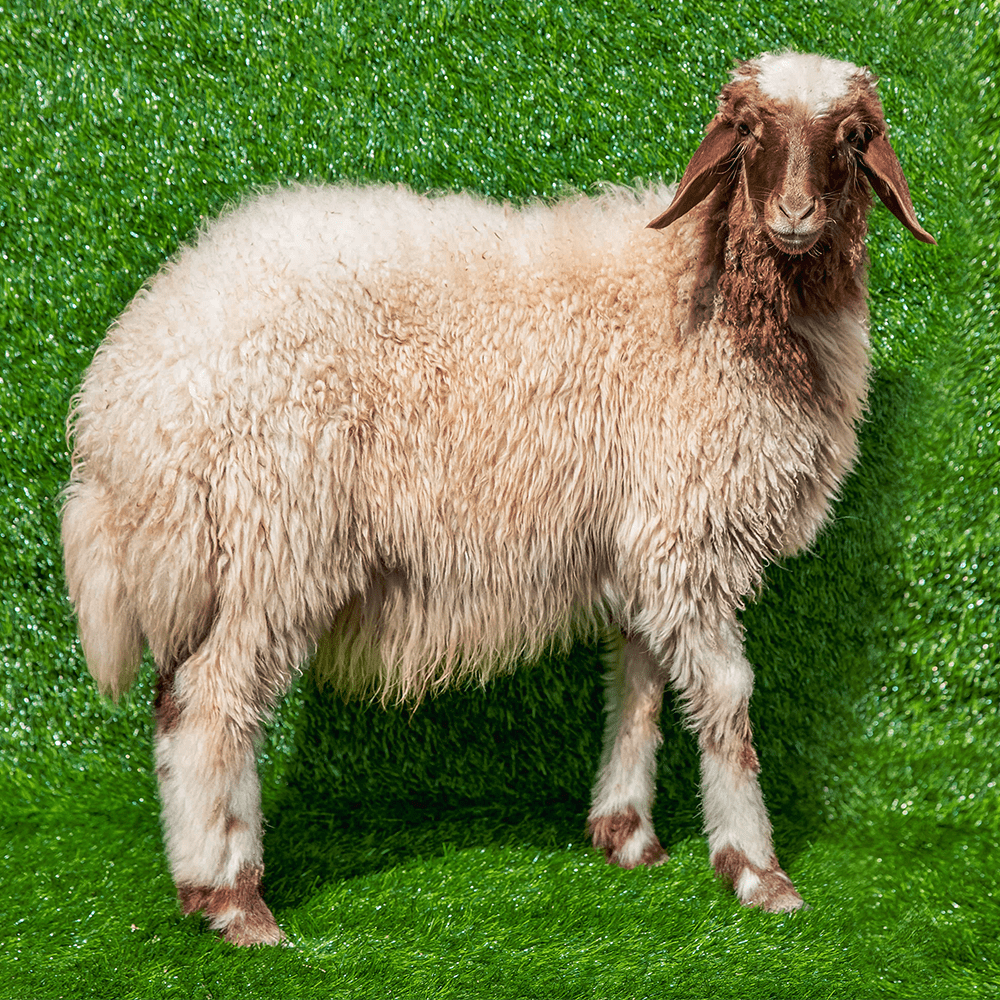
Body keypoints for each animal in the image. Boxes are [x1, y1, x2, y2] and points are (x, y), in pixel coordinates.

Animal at [61, 50, 935, 946]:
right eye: (751, 130)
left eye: (853, 137)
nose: (795, 214)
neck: (715, 297)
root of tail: (123, 395)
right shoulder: (683, 530)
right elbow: (727, 697)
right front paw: (757, 870)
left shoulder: (643, 540)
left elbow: (640, 682)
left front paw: (626, 833)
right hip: (273, 540)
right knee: (213, 705)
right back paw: (236, 901)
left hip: (232, 556)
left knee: (174, 702)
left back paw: (198, 883)